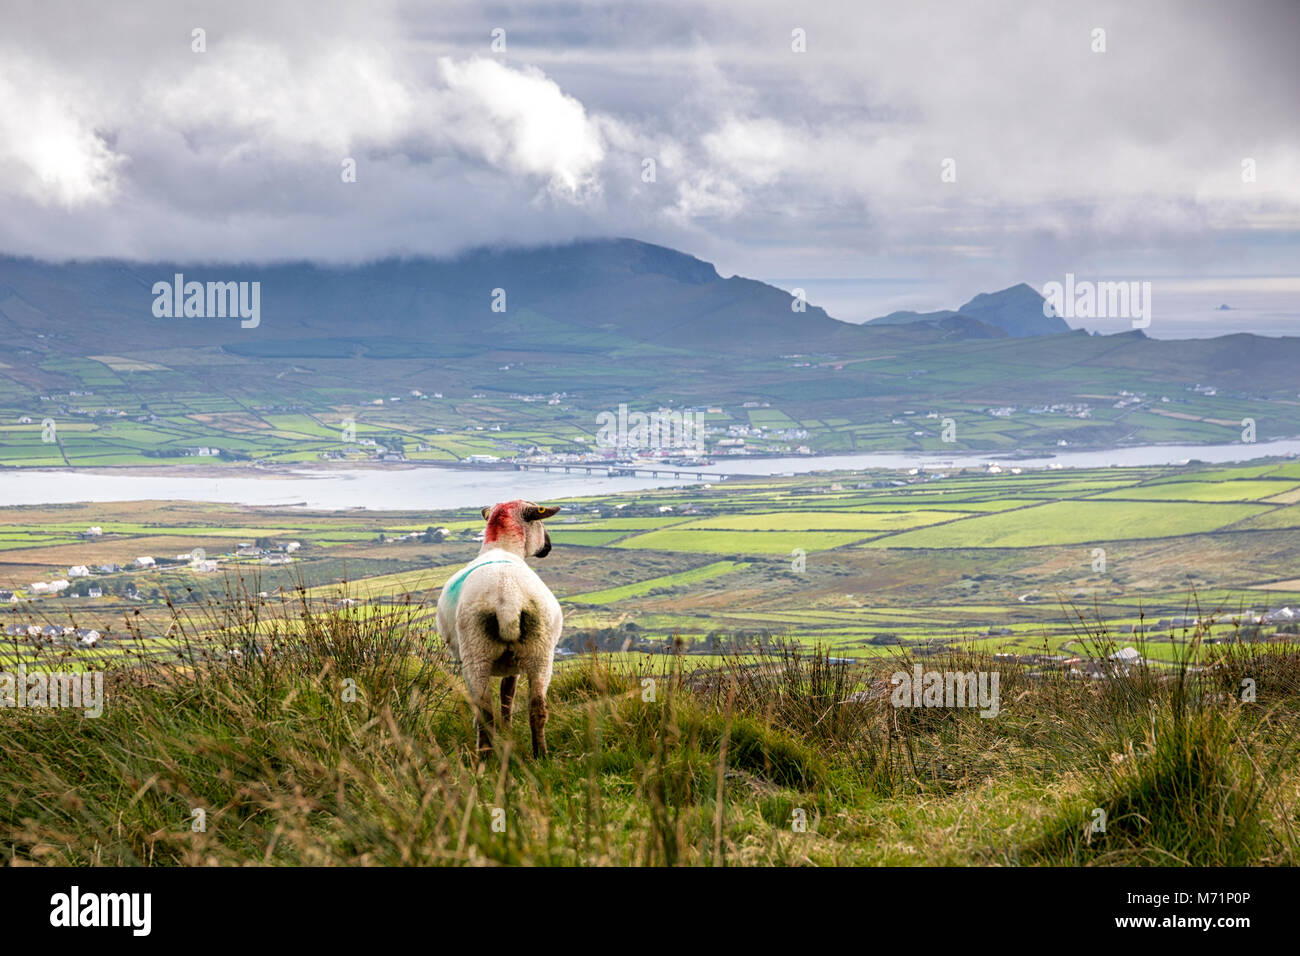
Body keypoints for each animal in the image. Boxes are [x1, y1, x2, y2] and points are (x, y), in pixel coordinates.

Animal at [436, 499, 563, 758]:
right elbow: (508, 694)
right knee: (537, 708)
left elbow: (505, 695)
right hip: (541, 651)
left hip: (477, 653)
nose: (548, 545)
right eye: (539, 522)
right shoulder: (514, 665)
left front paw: (505, 731)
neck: (502, 546)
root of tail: (507, 598)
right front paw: (508, 731)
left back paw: (484, 757)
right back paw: (541, 755)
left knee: (485, 713)